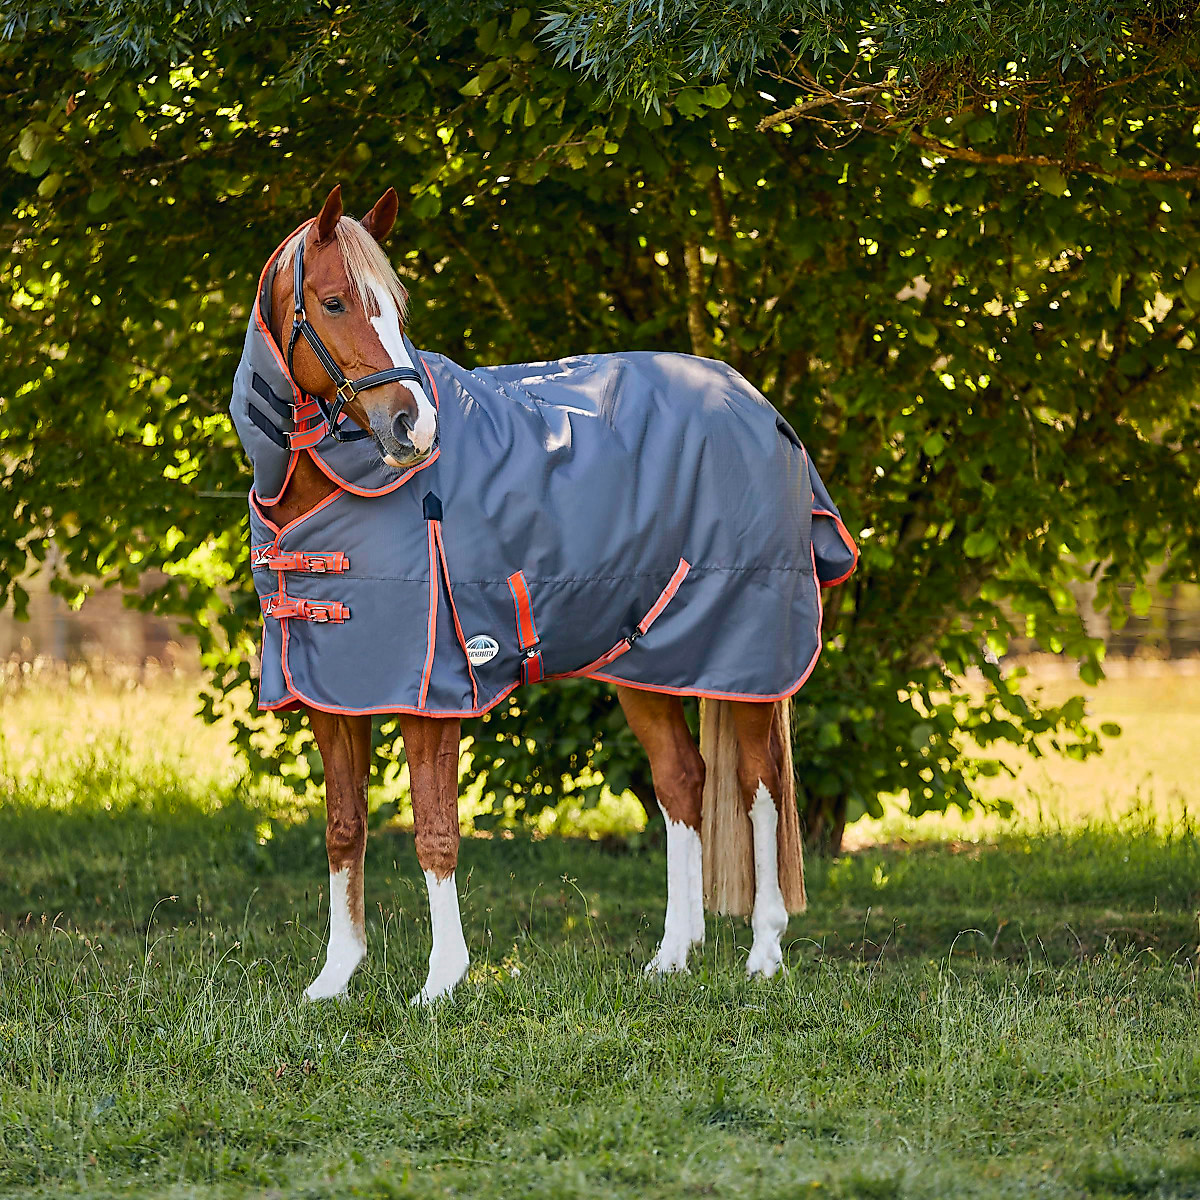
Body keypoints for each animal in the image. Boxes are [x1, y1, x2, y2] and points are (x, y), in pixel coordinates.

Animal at [233, 185, 856, 1004]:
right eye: (334, 302)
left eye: (396, 307)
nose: (413, 427)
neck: (334, 491)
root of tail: (757, 407)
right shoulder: (334, 698)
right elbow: (344, 829)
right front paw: (335, 978)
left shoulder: (433, 694)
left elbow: (435, 831)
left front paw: (442, 982)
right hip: (646, 663)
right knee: (682, 783)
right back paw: (672, 956)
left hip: (747, 664)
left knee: (759, 790)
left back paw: (763, 954)